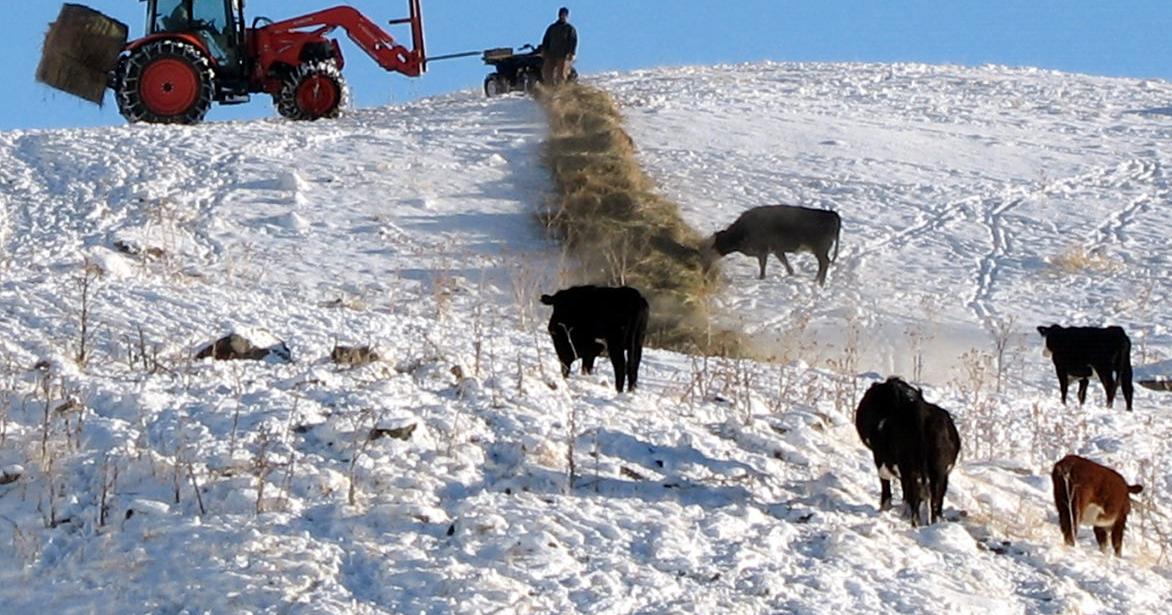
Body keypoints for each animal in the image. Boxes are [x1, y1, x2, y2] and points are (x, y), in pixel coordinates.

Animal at [708, 205, 842, 285]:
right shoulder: (777, 250)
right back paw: (816, 281)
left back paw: (820, 283)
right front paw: (791, 273)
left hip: (820, 250)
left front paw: (761, 277)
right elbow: (784, 262)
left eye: (721, 242)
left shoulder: (763, 251)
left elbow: (763, 265)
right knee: (822, 264)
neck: (743, 230)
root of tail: (832, 214)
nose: (712, 252)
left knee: (824, 263)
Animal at [854, 377, 961, 526]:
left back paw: (915, 523)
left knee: (915, 496)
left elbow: (888, 484)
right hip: (938, 470)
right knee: (935, 500)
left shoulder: (881, 458)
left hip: (909, 467)